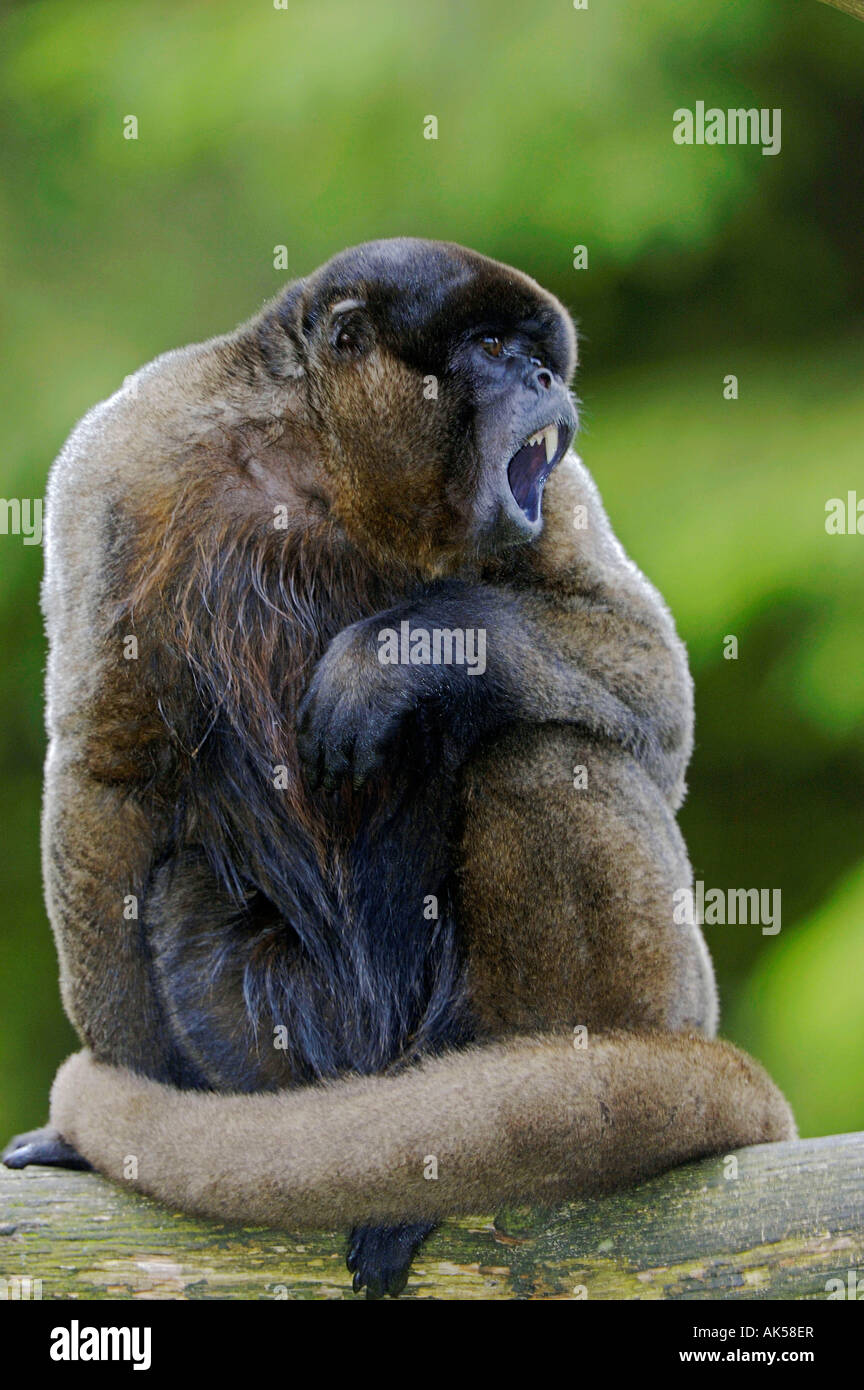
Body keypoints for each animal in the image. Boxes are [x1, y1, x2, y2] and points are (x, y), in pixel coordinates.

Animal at [3, 238, 795, 1298]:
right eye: (494, 349)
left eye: (537, 356)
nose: (545, 380)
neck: (327, 470)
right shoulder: (124, 463)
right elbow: (108, 765)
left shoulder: (553, 497)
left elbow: (659, 698)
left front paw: (396, 657)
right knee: (179, 887)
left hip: (641, 1001)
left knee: (544, 749)